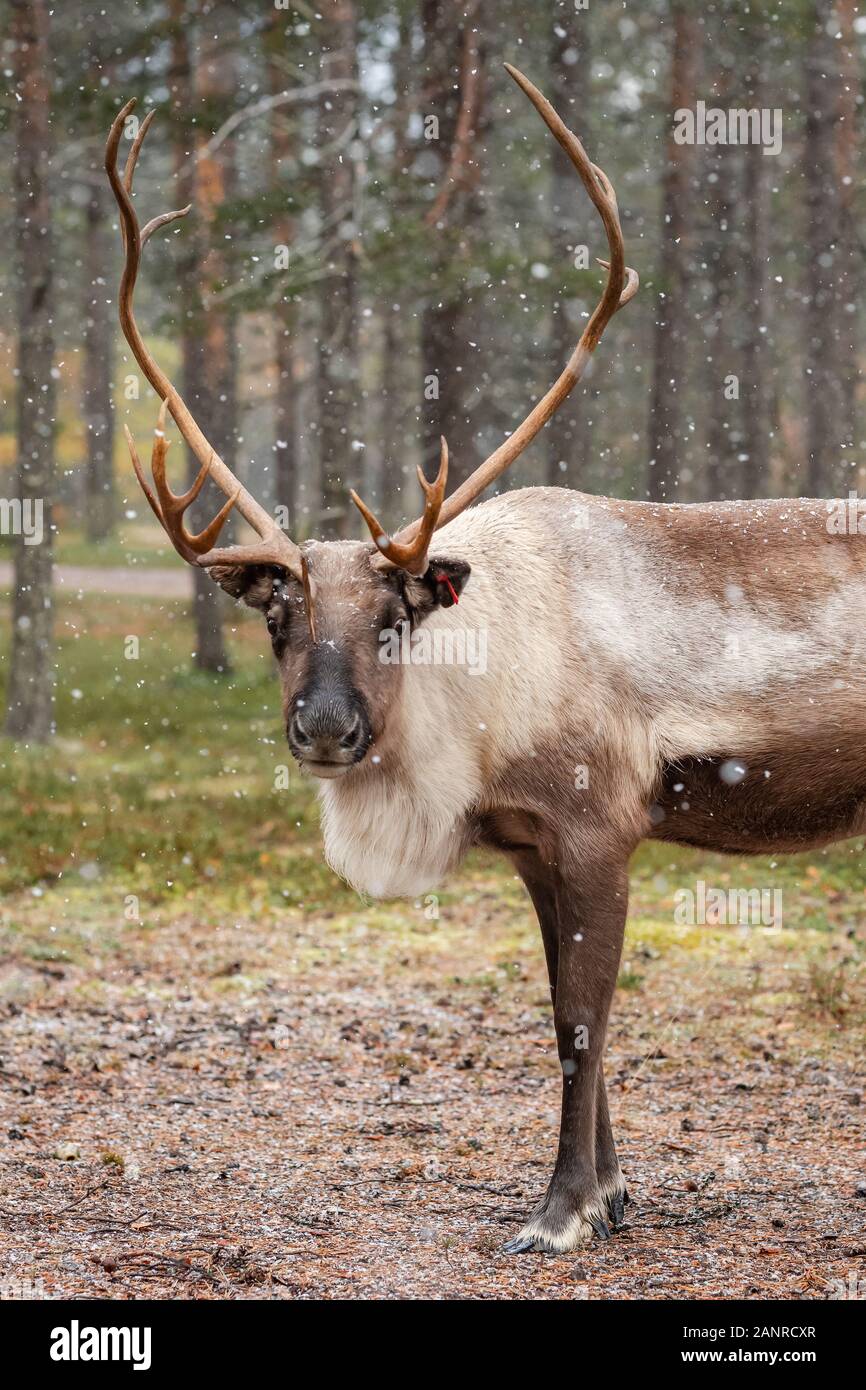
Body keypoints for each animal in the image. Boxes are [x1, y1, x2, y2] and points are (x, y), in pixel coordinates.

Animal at [106, 66, 866, 1255]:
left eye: (395, 612)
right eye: (278, 616)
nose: (326, 728)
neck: (475, 718)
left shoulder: (599, 825)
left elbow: (581, 1023)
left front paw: (557, 1214)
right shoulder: (529, 848)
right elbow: (565, 1011)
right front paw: (608, 1196)